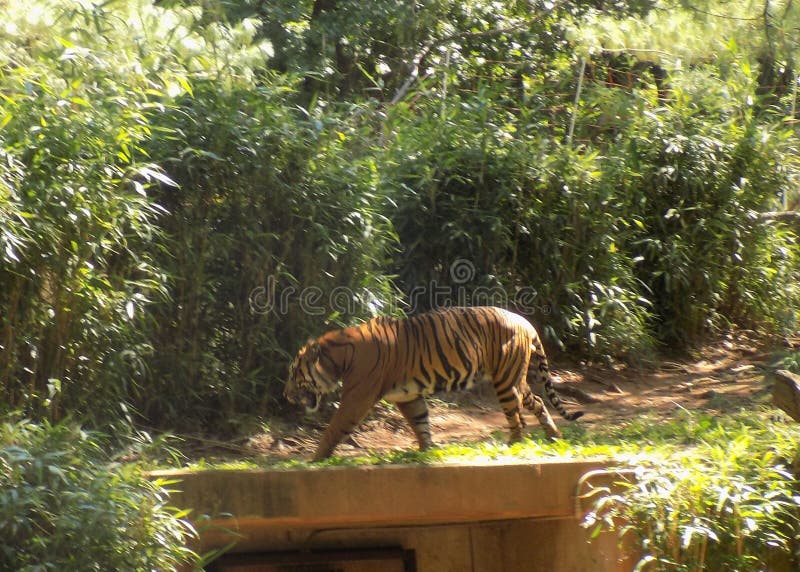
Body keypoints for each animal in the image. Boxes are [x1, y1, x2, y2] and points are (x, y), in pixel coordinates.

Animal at [285, 306, 583, 460]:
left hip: (505, 381)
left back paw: (513, 445)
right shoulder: (407, 396)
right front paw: (427, 451)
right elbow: (420, 422)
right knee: (538, 400)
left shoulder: (357, 398)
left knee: (517, 416)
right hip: (514, 378)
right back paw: (553, 435)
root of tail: (524, 321)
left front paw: (315, 459)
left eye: (294, 373)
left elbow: (334, 428)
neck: (339, 359)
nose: (285, 395)